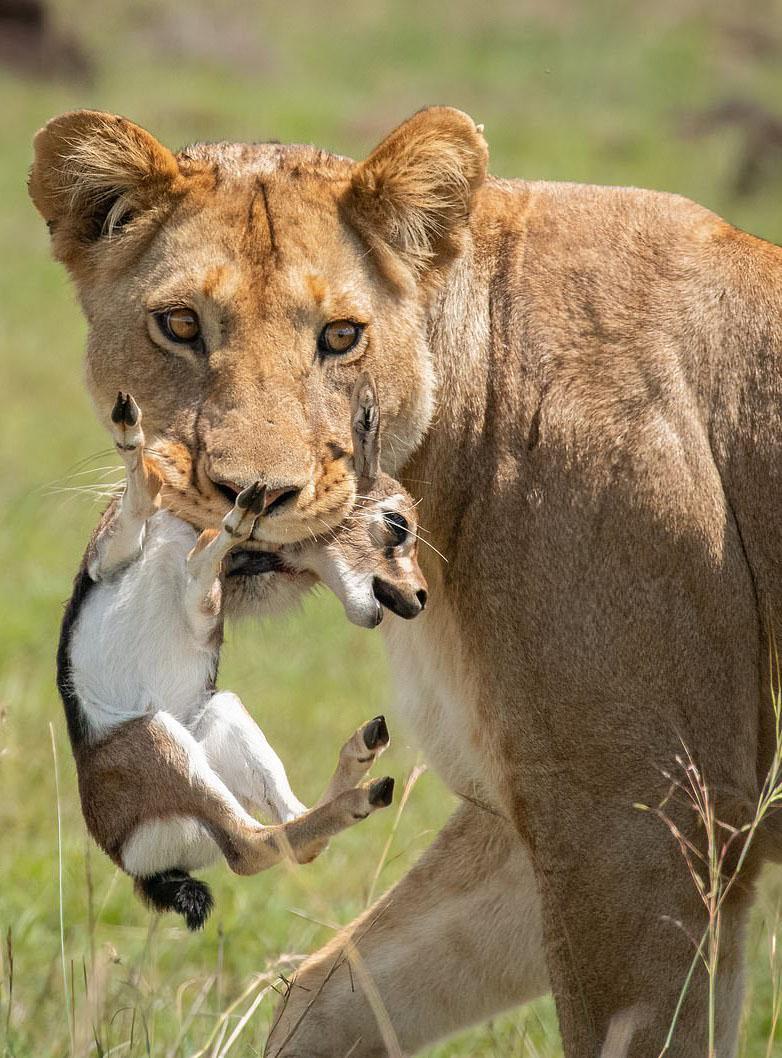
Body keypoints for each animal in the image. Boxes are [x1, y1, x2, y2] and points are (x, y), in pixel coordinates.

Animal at [29, 106, 782, 1057]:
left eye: (341, 336)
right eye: (181, 325)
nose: (254, 493)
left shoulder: (644, 824)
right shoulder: (551, 825)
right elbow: (328, 993)